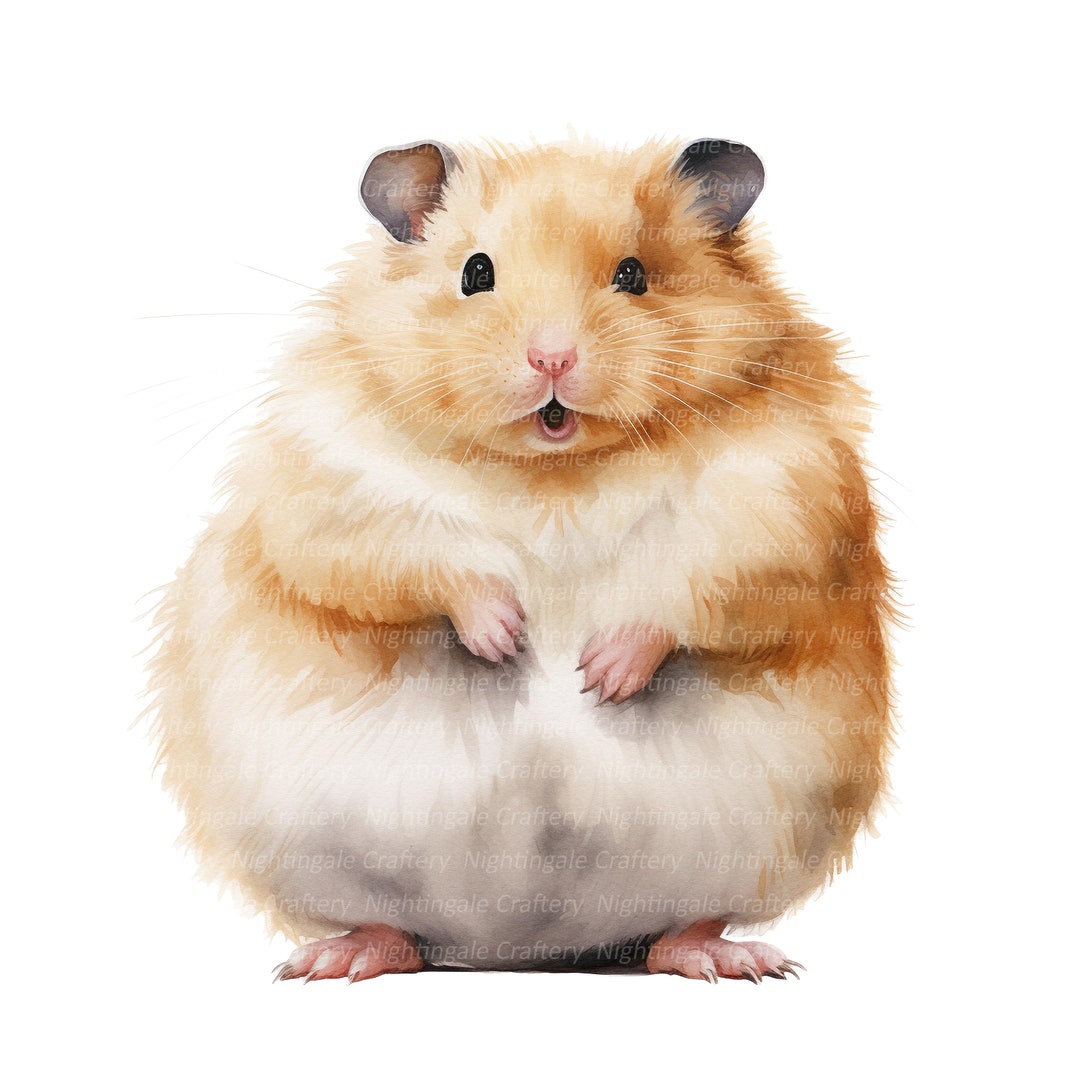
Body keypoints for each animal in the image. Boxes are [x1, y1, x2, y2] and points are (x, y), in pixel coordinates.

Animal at [148, 136, 894, 983]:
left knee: (680, 925)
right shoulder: (331, 486)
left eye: (634, 275)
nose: (553, 359)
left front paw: (599, 675)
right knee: (392, 929)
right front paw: (507, 641)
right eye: (477, 272)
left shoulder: (785, 503)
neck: (551, 470)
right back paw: (332, 960)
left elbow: (695, 587)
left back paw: (733, 959)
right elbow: (410, 560)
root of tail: (519, 948)